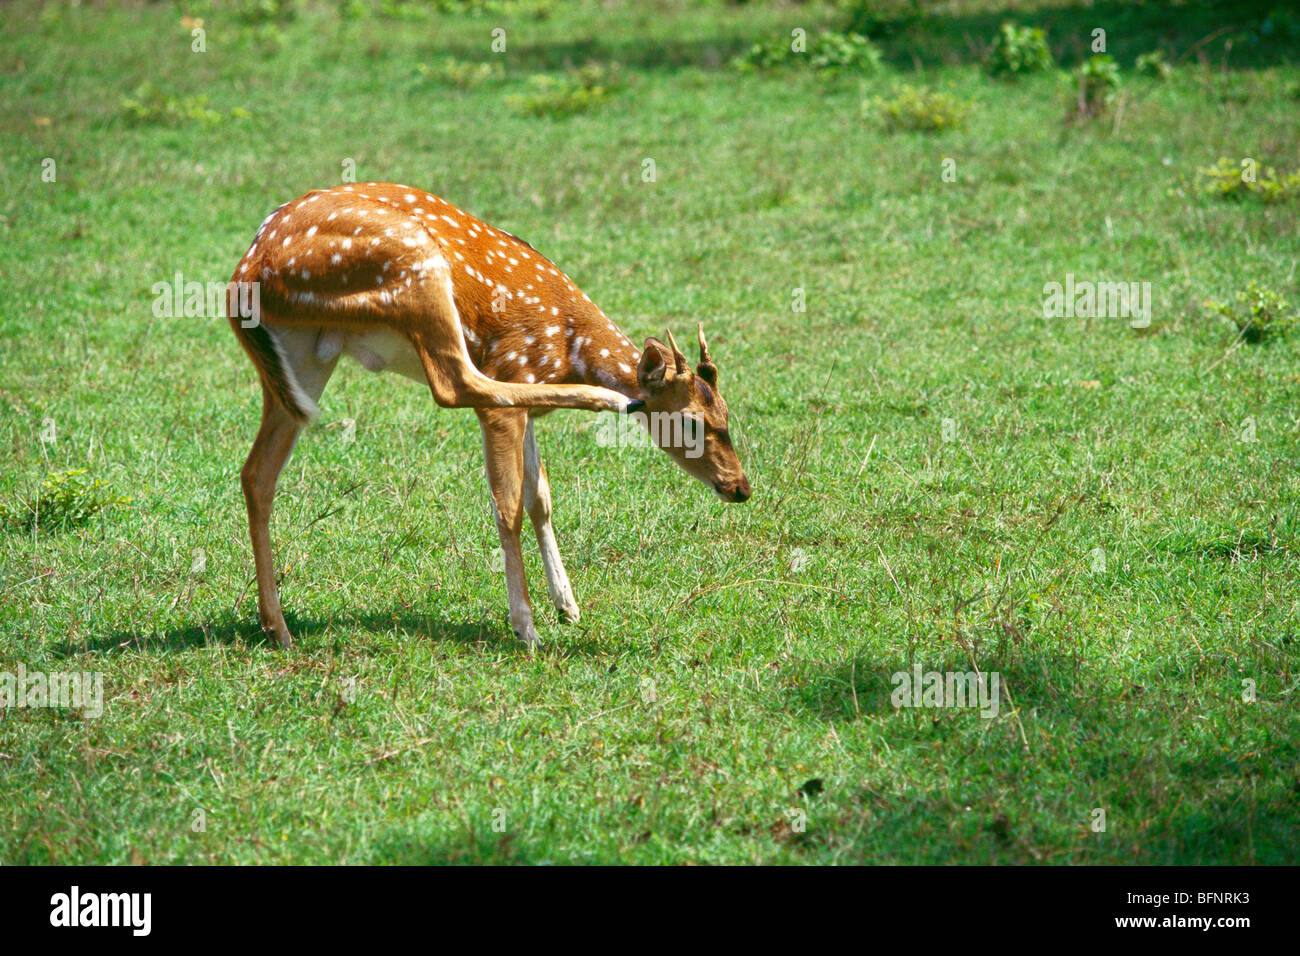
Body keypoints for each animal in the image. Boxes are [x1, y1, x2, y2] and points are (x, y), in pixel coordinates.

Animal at [226, 182, 750, 649]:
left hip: (303, 357)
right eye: (692, 421)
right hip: (414, 266)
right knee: (457, 384)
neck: (568, 350)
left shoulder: (528, 412)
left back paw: (277, 628)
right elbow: (509, 503)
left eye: (727, 414)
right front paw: (526, 626)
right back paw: (610, 399)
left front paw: (568, 605)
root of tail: (245, 272)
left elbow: (541, 496)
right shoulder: (514, 373)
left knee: (257, 472)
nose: (740, 487)